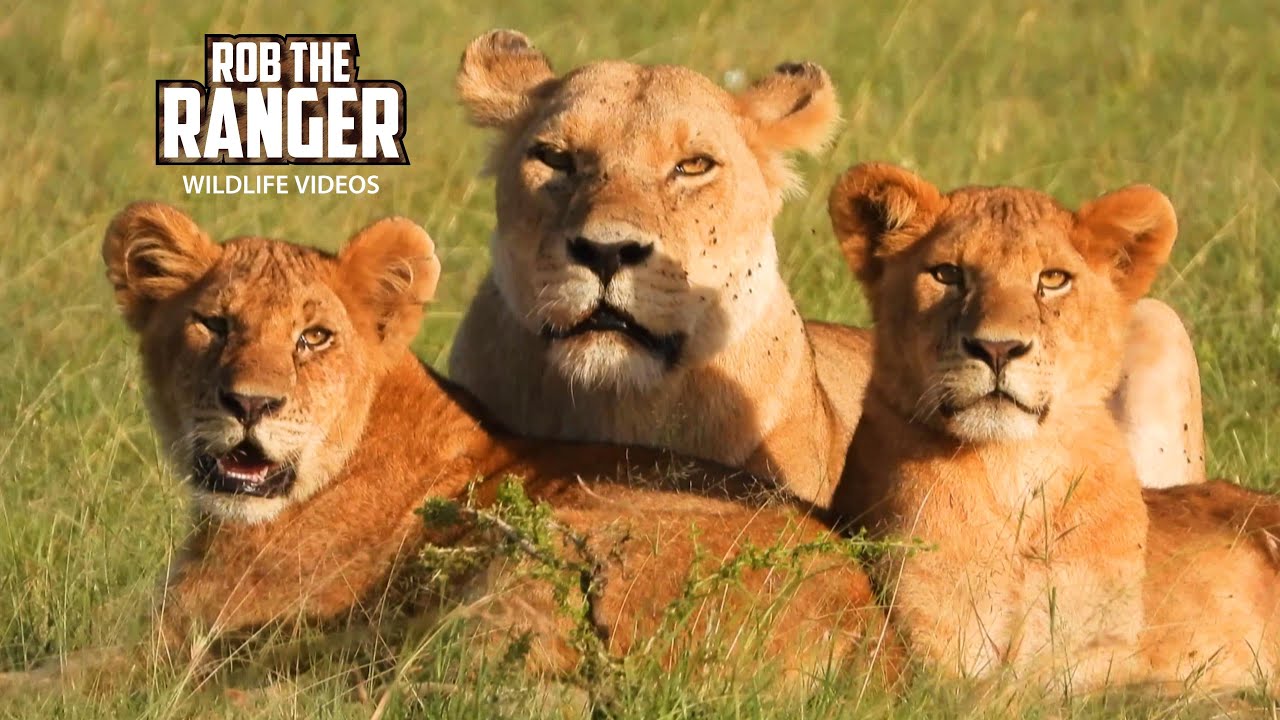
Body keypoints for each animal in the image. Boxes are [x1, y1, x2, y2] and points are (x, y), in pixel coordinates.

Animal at [0, 202, 894, 700]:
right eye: (212, 324)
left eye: (314, 337)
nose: (250, 405)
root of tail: (870, 635)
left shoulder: (181, 637)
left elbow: (63, 680)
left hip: (536, 565)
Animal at [827, 163, 1279, 697]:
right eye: (947, 274)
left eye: (1053, 279)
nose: (997, 348)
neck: (1017, 472)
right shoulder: (937, 653)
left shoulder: (1095, 652)